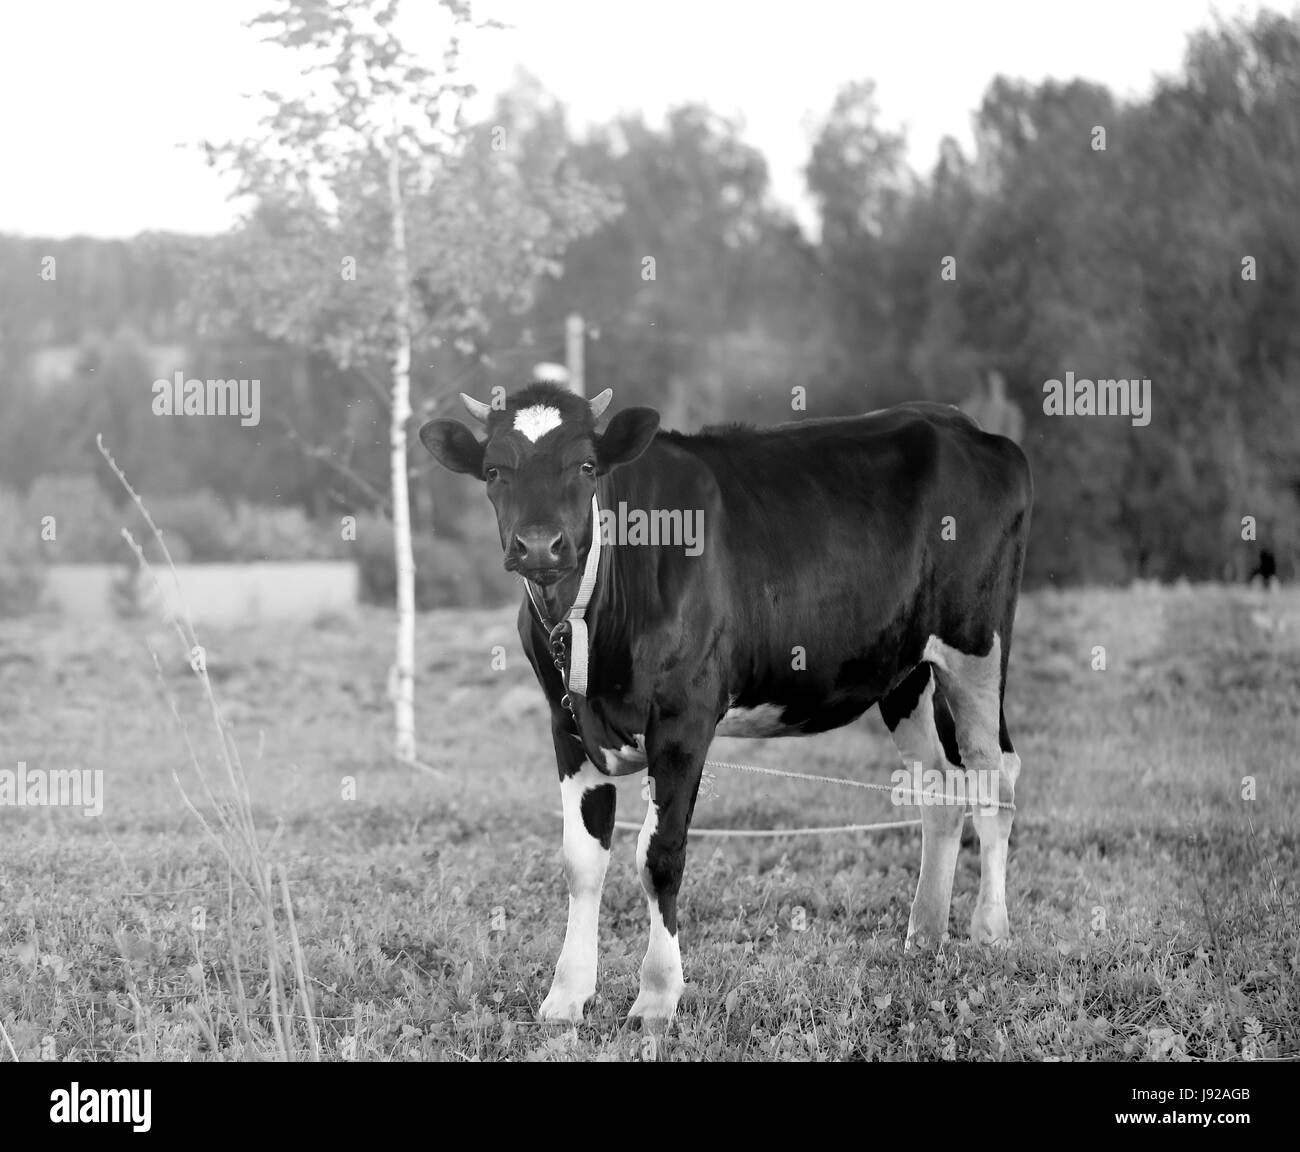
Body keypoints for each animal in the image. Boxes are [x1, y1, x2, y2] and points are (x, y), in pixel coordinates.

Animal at [419, 383, 1032, 1023]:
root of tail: (959, 423)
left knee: (994, 774)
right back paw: (924, 934)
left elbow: (659, 855)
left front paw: (657, 995)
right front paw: (566, 995)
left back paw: (989, 931)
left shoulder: (684, 717)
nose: (539, 545)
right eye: (494, 470)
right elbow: (581, 860)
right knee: (940, 785)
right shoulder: (566, 724)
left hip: (977, 645)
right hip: (904, 670)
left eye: (586, 465)